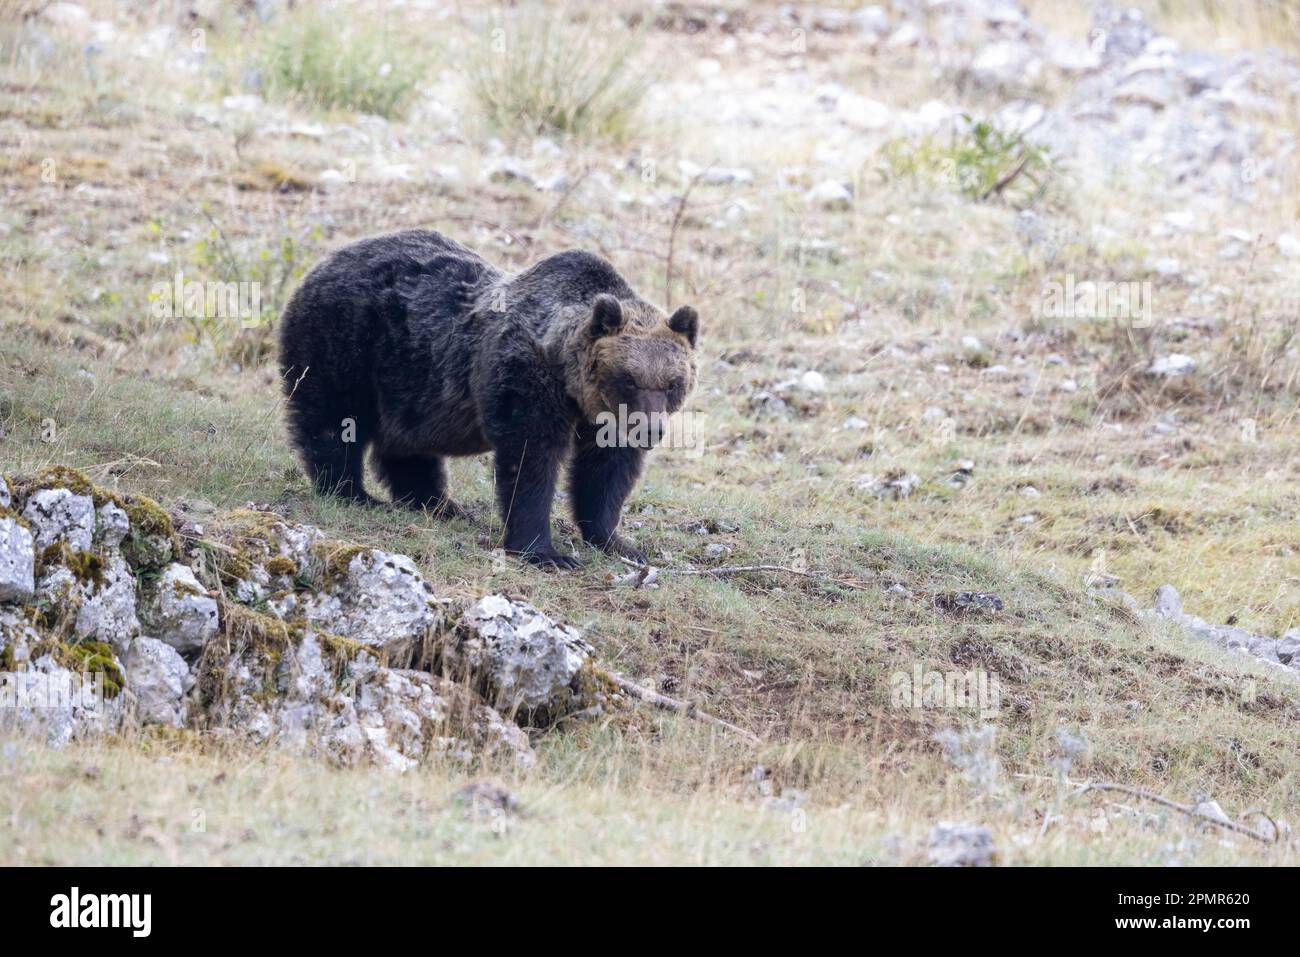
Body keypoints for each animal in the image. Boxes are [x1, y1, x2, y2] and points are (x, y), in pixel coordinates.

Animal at [278, 229, 700, 568]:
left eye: (672, 382)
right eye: (629, 378)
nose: (650, 430)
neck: (567, 376)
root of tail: (325, 261)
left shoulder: (603, 419)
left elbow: (605, 474)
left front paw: (618, 542)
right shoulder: (525, 379)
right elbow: (531, 462)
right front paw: (546, 552)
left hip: (410, 383)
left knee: (407, 446)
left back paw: (441, 504)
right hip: (346, 344)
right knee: (334, 420)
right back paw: (353, 492)